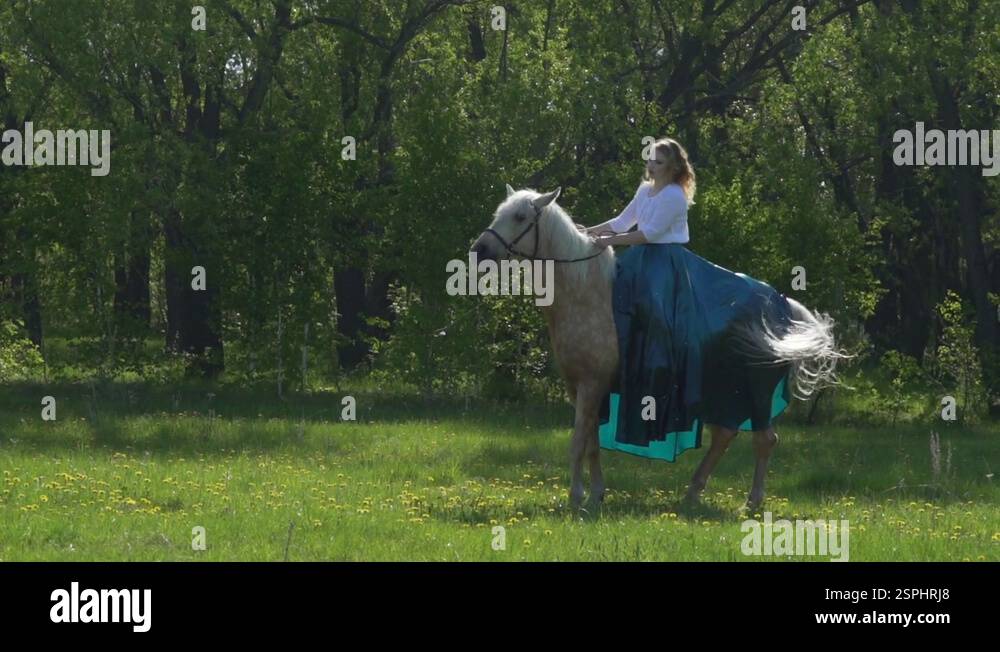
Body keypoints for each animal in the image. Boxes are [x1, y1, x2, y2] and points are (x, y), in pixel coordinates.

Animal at [469, 184, 842, 514]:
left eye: (520, 216)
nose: (479, 249)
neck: (586, 293)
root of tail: (783, 305)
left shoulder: (592, 385)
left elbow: (577, 443)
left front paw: (575, 498)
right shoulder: (581, 388)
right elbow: (591, 444)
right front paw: (596, 495)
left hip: (757, 393)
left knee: (764, 440)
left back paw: (751, 502)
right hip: (724, 390)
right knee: (725, 434)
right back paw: (693, 494)